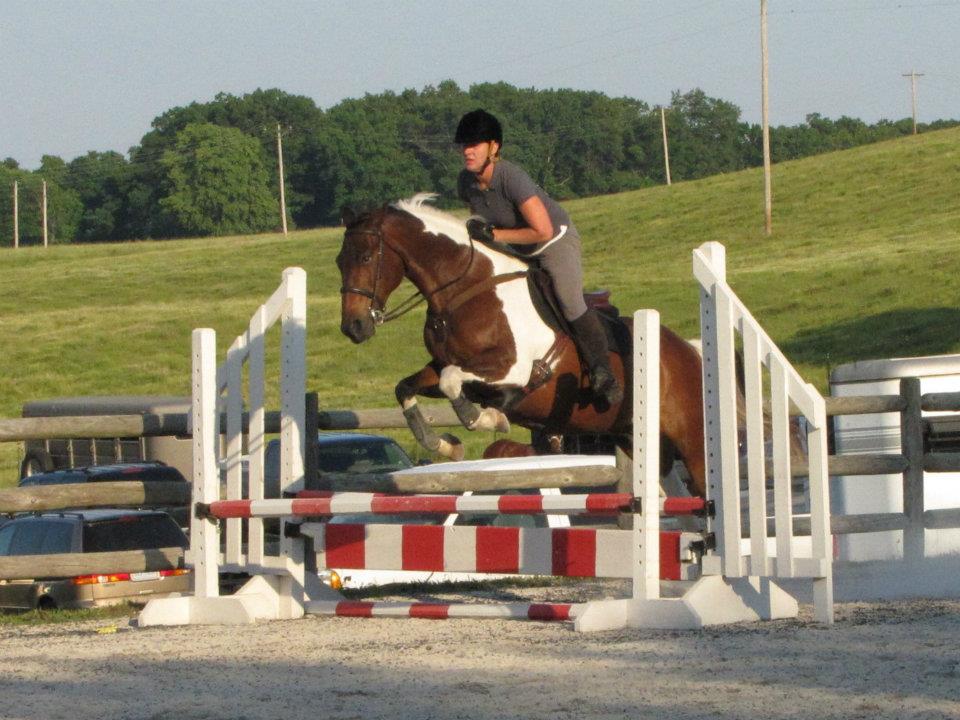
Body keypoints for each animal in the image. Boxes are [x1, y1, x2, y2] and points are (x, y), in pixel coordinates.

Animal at [336, 194, 708, 497]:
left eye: (366, 257)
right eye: (340, 261)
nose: (353, 327)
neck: (467, 290)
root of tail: (689, 351)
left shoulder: (513, 370)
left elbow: (453, 381)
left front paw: (487, 419)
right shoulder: (442, 364)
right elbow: (409, 386)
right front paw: (442, 444)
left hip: (694, 445)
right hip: (639, 441)